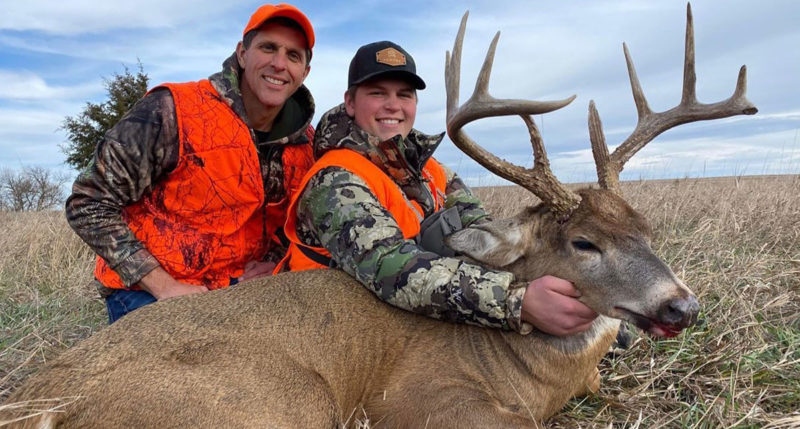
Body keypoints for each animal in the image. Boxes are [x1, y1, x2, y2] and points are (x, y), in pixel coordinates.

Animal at [2, 4, 756, 428]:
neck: (528, 371)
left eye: (647, 229)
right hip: (284, 399)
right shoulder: (419, 401)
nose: (682, 305)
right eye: (584, 243)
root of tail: (40, 404)